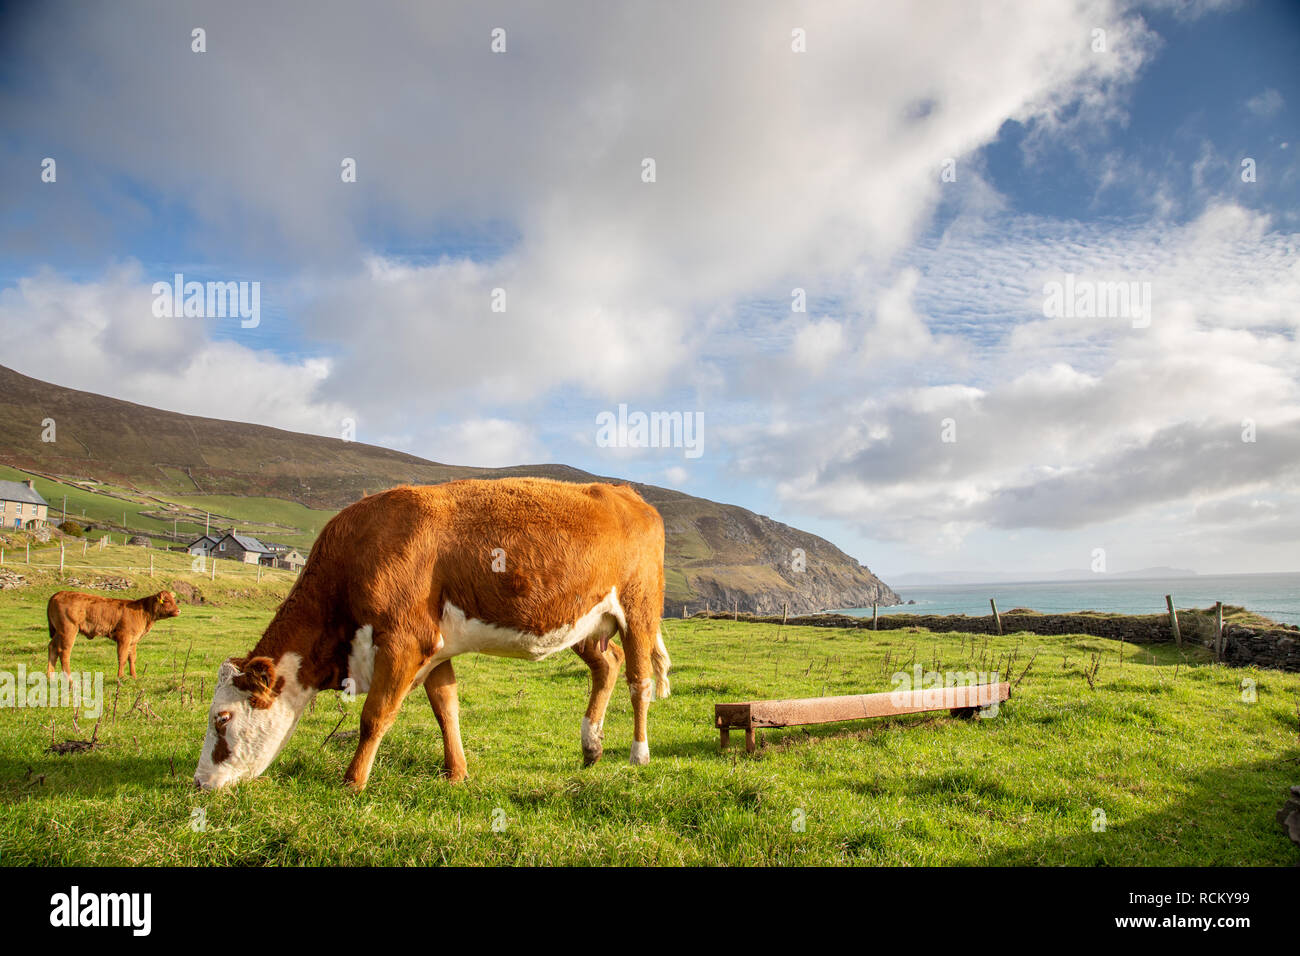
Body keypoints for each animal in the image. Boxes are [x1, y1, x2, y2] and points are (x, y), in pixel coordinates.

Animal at [46, 589, 181, 679]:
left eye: (174, 600)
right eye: (166, 600)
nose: (178, 610)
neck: (143, 612)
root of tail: (59, 593)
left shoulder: (133, 640)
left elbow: (132, 658)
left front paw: (134, 676)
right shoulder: (124, 637)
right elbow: (122, 657)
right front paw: (121, 676)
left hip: (59, 632)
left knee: (52, 647)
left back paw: (50, 676)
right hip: (68, 630)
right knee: (64, 651)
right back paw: (69, 679)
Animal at [194, 477, 671, 791]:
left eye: (222, 718)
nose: (199, 783)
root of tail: (626, 493)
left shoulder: (404, 641)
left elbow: (374, 716)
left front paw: (352, 782)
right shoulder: (436, 649)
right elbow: (447, 708)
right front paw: (456, 772)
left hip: (639, 612)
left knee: (639, 680)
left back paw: (638, 753)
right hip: (584, 623)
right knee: (607, 665)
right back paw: (591, 746)